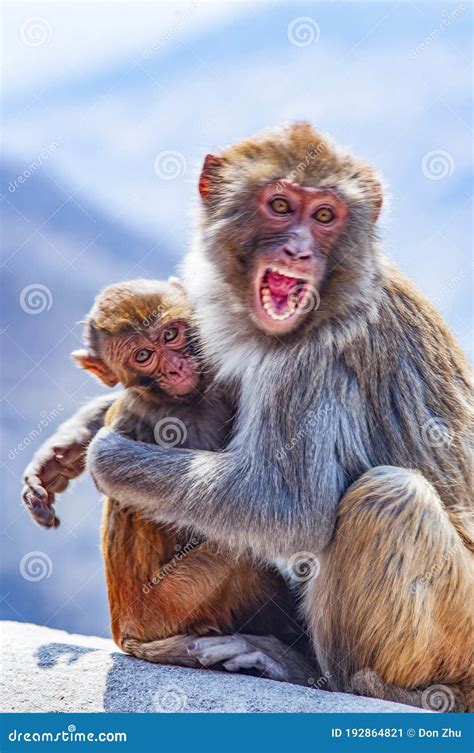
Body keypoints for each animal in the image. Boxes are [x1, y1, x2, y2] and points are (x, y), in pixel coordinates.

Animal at [23, 277, 314, 682]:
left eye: (171, 335)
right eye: (144, 355)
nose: (177, 367)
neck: (187, 401)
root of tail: (125, 632)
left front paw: (59, 456)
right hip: (168, 606)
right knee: (237, 547)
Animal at [84, 124, 473, 710]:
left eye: (325, 216)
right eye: (281, 205)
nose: (298, 249)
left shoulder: (314, 356)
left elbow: (286, 506)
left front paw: (105, 454)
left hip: (460, 626)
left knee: (389, 496)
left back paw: (338, 678)